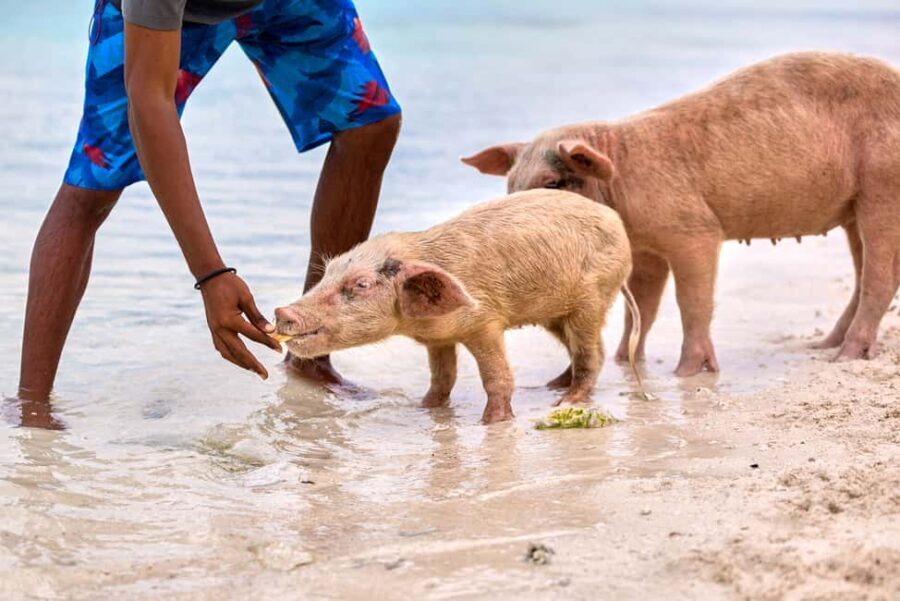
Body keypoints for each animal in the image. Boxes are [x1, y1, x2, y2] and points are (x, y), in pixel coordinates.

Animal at [275, 190, 641, 424]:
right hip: (556, 314)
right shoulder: (438, 339)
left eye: (362, 285)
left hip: (592, 299)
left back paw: (565, 401)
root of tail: (618, 224)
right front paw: (424, 408)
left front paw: (492, 423)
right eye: (329, 270)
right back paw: (555, 386)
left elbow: (497, 376)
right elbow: (442, 378)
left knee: (592, 353)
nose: (282, 312)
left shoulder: (485, 322)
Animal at [461, 52, 900, 377]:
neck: (621, 183)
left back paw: (844, 356)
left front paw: (687, 374)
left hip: (882, 186)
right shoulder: (646, 249)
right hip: (852, 208)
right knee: (868, 274)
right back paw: (824, 344)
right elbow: (642, 307)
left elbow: (692, 301)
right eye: (511, 184)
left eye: (553, 182)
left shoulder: (695, 231)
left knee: (879, 276)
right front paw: (625, 362)